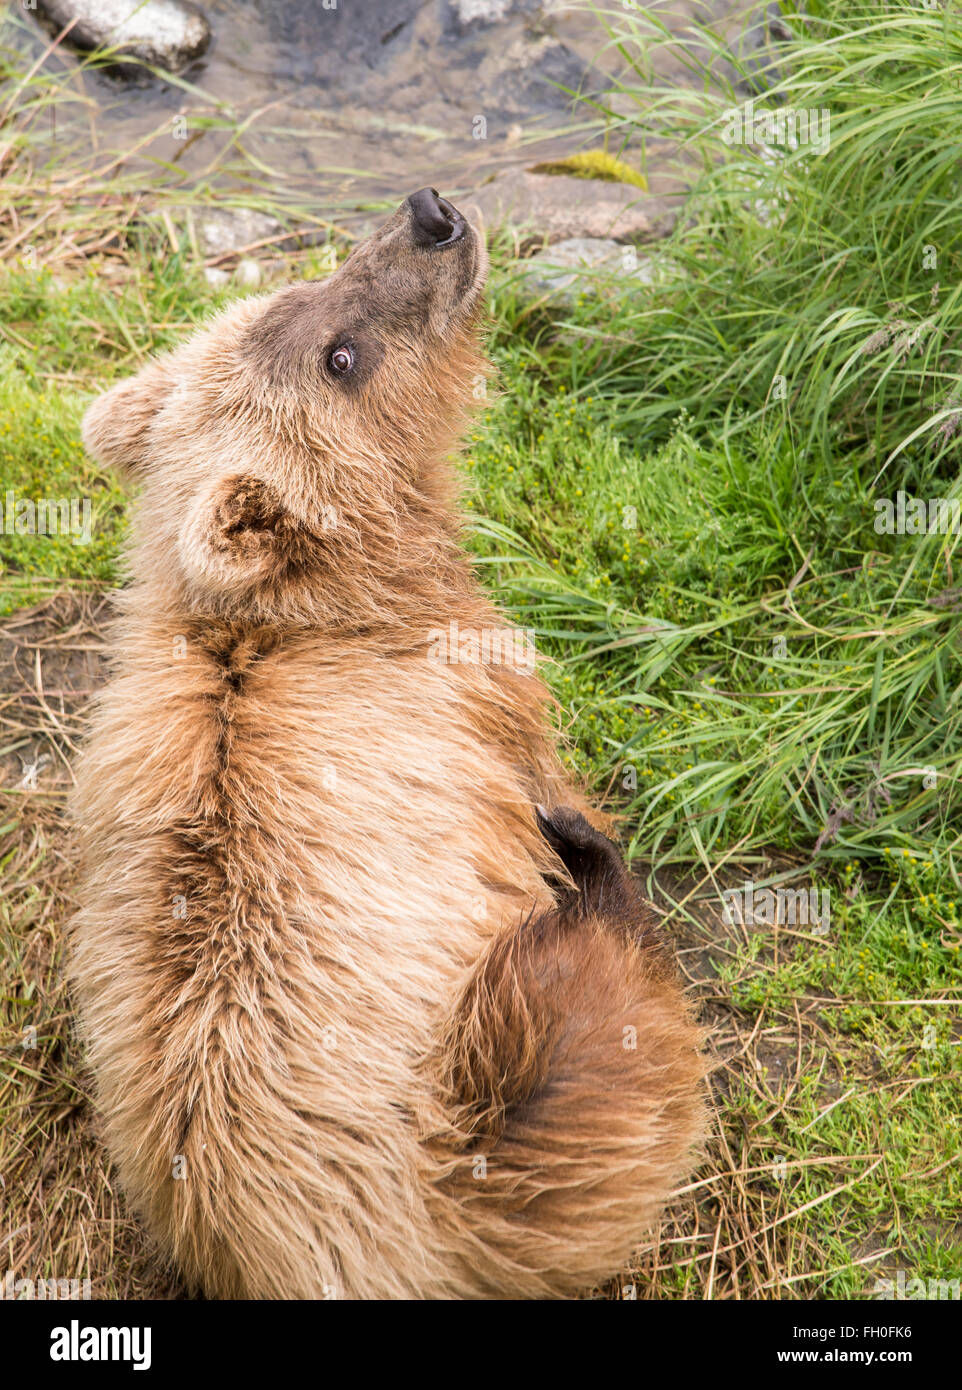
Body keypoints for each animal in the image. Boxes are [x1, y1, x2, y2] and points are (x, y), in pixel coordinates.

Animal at [69, 188, 706, 1300]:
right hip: (475, 1127)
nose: (430, 214)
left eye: (298, 289)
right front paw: (590, 818)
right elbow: (540, 755)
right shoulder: (473, 692)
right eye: (343, 355)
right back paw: (596, 883)